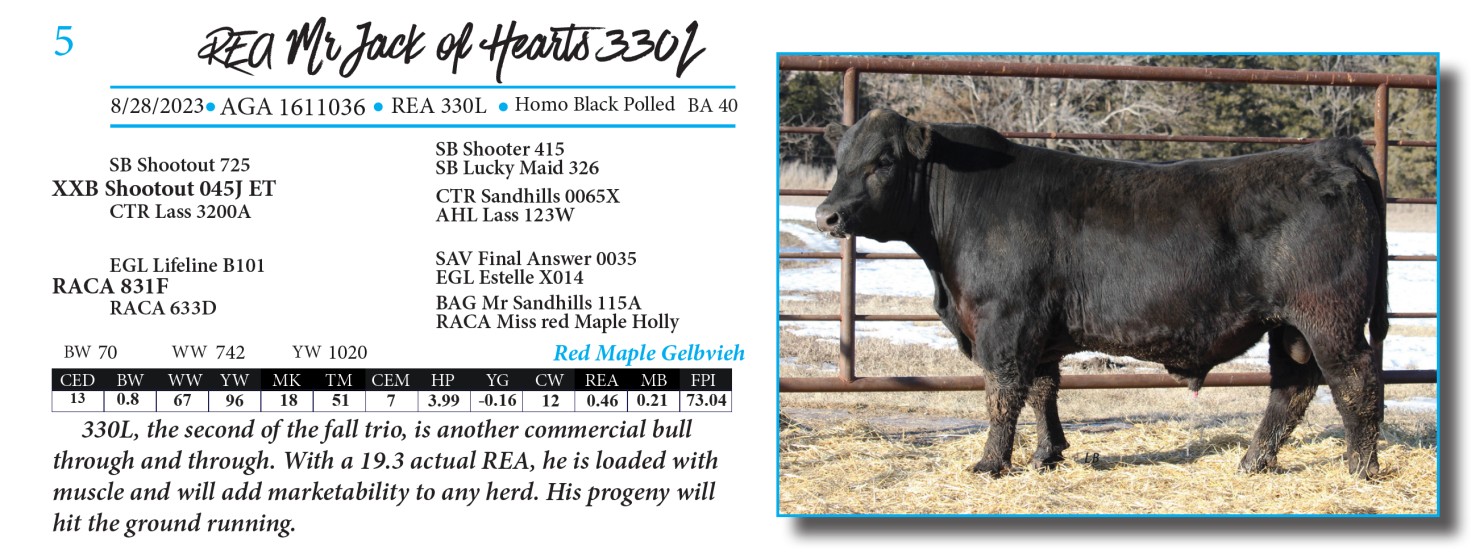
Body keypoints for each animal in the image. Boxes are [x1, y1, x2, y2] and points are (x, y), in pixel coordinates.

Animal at [815, 108, 1388, 478]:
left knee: (1356, 382)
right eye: (841, 160)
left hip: (1329, 317)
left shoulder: (1006, 321)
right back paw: (1252, 464)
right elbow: (1044, 390)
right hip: (1289, 326)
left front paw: (990, 464)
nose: (828, 215)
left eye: (884, 161)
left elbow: (1003, 394)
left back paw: (1360, 469)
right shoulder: (1040, 331)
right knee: (1292, 387)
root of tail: (1329, 152)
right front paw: (1047, 456)